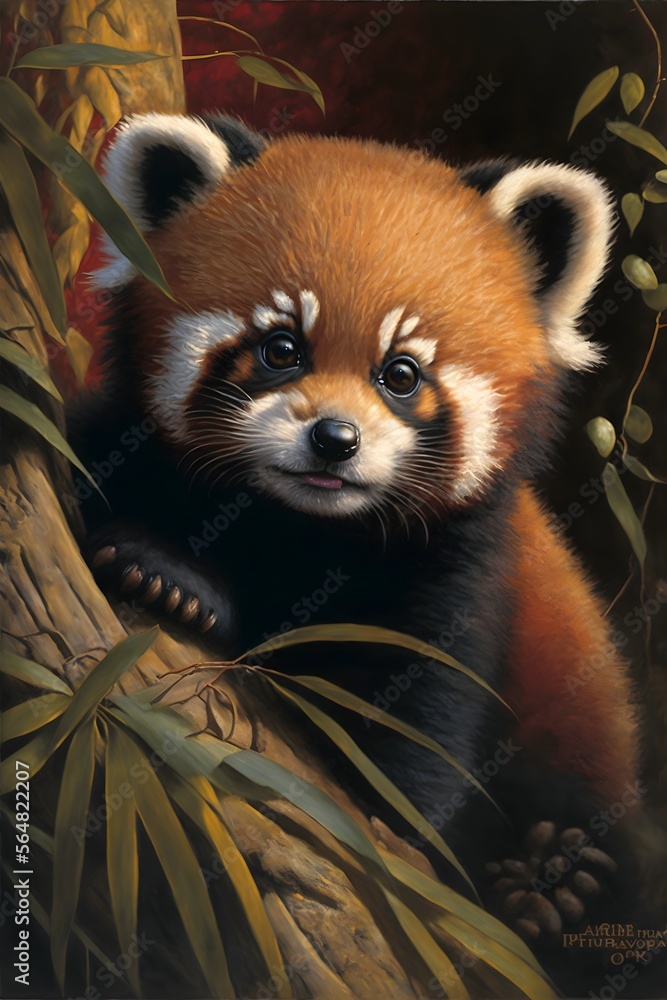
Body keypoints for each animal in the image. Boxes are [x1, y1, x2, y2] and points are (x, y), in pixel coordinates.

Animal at [72, 113, 640, 960]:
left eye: (400, 374)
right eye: (281, 347)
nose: (333, 440)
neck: (300, 533)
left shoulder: (457, 581)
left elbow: (418, 723)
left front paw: (399, 817)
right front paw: (165, 576)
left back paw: (549, 889)